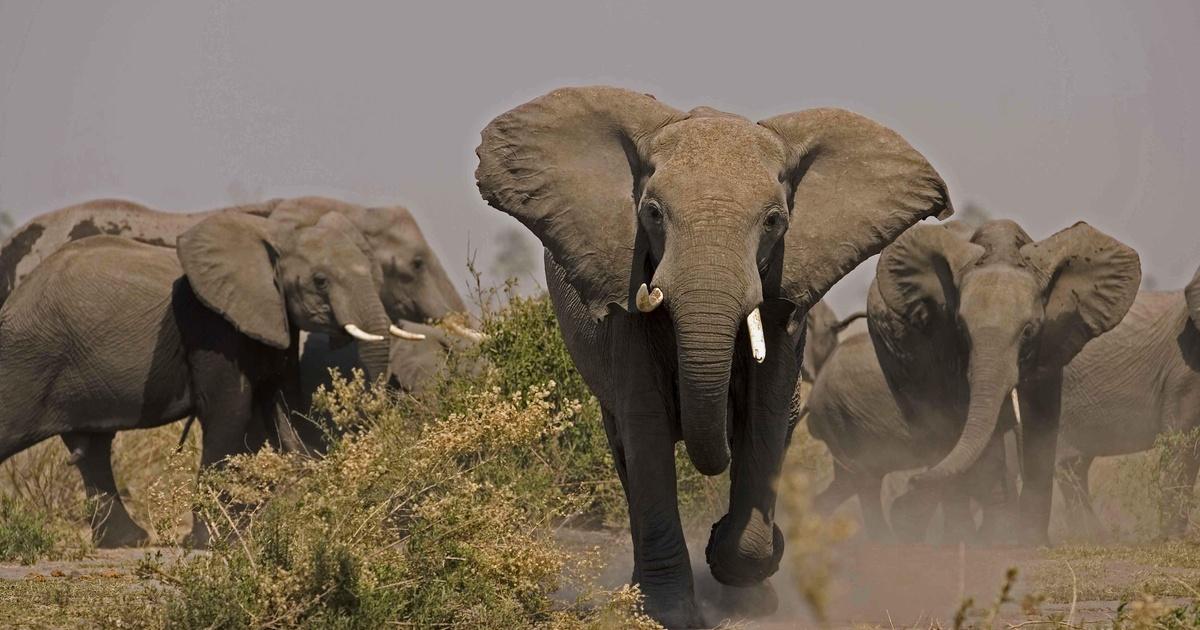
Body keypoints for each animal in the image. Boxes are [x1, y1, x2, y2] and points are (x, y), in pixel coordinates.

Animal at [0, 212, 408, 548]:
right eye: (320, 281)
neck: (274, 237)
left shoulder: (271, 322)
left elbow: (270, 413)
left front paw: (240, 535)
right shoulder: (213, 328)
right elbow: (230, 413)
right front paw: (211, 543)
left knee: (93, 448)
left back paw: (128, 543)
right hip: (29, 356)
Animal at [475, 86, 952, 627]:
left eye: (774, 221)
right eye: (653, 214)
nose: (716, 531)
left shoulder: (783, 302)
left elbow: (765, 419)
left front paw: (746, 587)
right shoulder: (627, 297)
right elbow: (647, 429)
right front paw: (670, 613)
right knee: (624, 445)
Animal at [858, 219, 1140, 546]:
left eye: (1029, 330)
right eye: (960, 328)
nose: (910, 488)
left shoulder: (1052, 341)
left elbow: (1041, 423)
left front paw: (1030, 541)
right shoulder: (947, 349)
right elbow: (980, 433)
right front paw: (997, 540)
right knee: (935, 432)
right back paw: (959, 536)